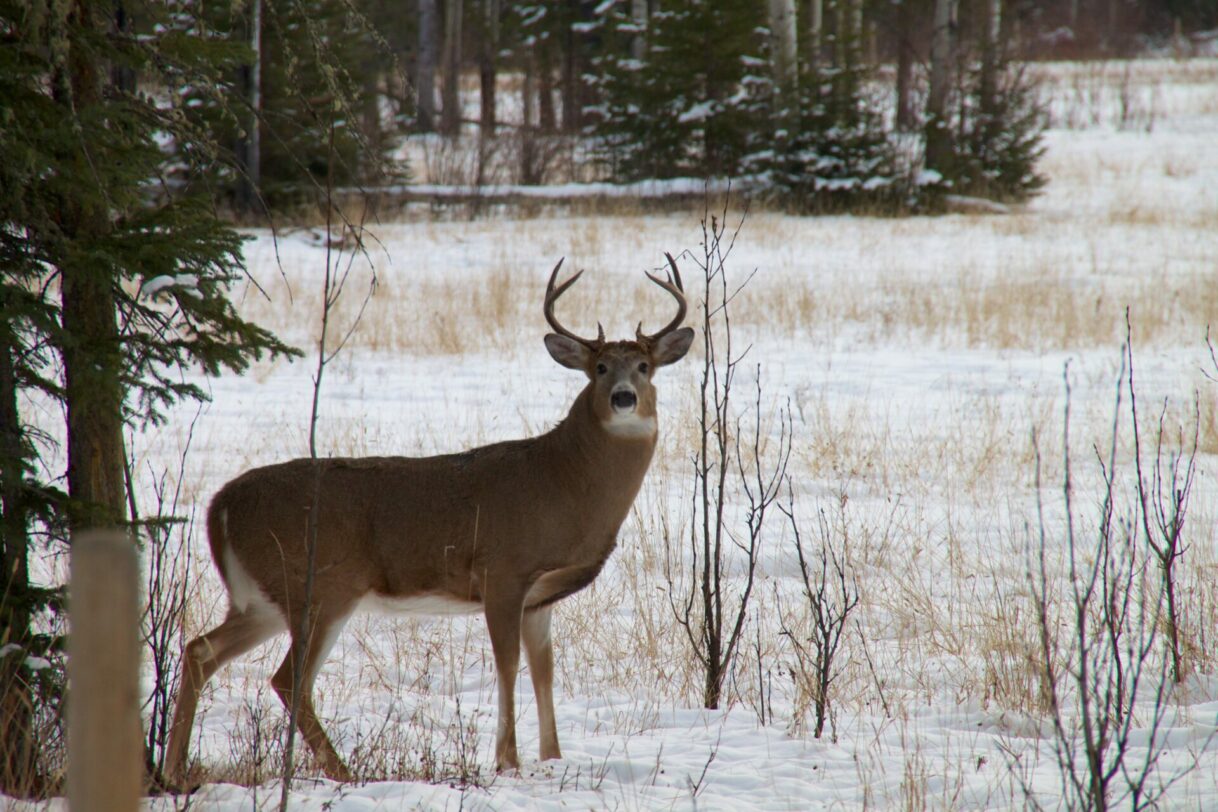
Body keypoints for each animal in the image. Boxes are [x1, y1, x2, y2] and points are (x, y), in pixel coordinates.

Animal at [163, 256, 694, 786]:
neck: (561, 480)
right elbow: (508, 665)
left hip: (264, 599)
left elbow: (544, 672)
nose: (624, 398)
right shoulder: (502, 572)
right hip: (320, 587)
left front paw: (552, 758)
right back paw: (343, 771)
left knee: (199, 651)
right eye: (599, 368)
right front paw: (507, 761)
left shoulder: (540, 598)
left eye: (644, 367)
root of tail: (219, 506)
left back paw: (175, 769)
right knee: (287, 679)